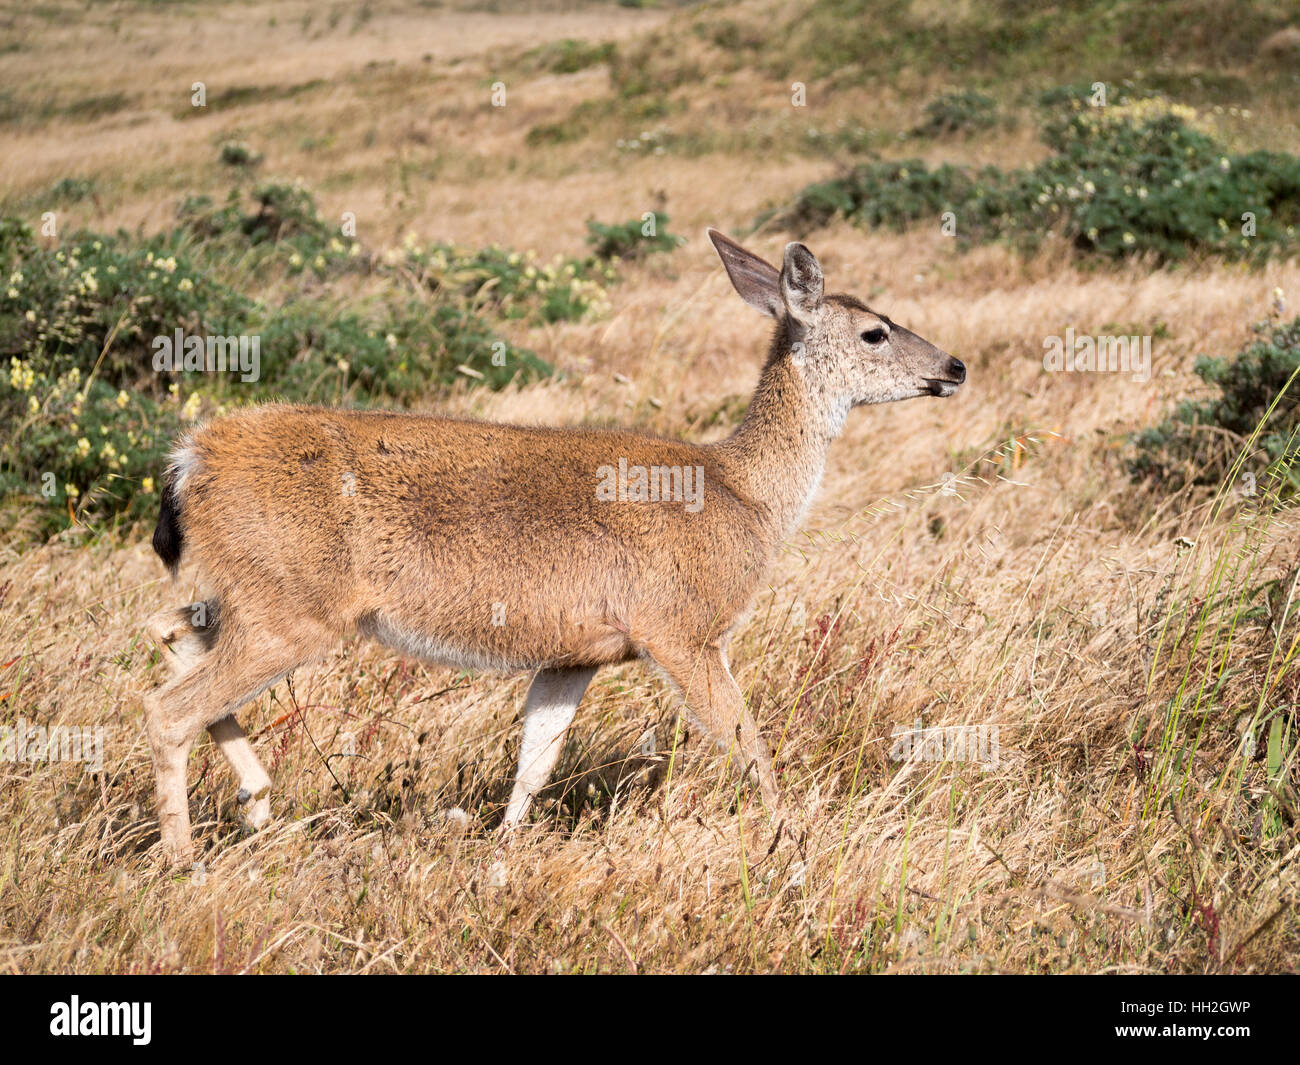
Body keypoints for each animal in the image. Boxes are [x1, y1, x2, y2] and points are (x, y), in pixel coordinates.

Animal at [141, 229, 966, 866]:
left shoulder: (575, 651)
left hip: (249, 593)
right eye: (875, 331)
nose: (954, 366)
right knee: (167, 707)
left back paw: (256, 800)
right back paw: (187, 859)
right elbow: (749, 745)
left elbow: (533, 767)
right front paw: (790, 841)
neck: (744, 492)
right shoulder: (680, 627)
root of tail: (189, 457)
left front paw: (501, 854)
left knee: (170, 631)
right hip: (292, 605)